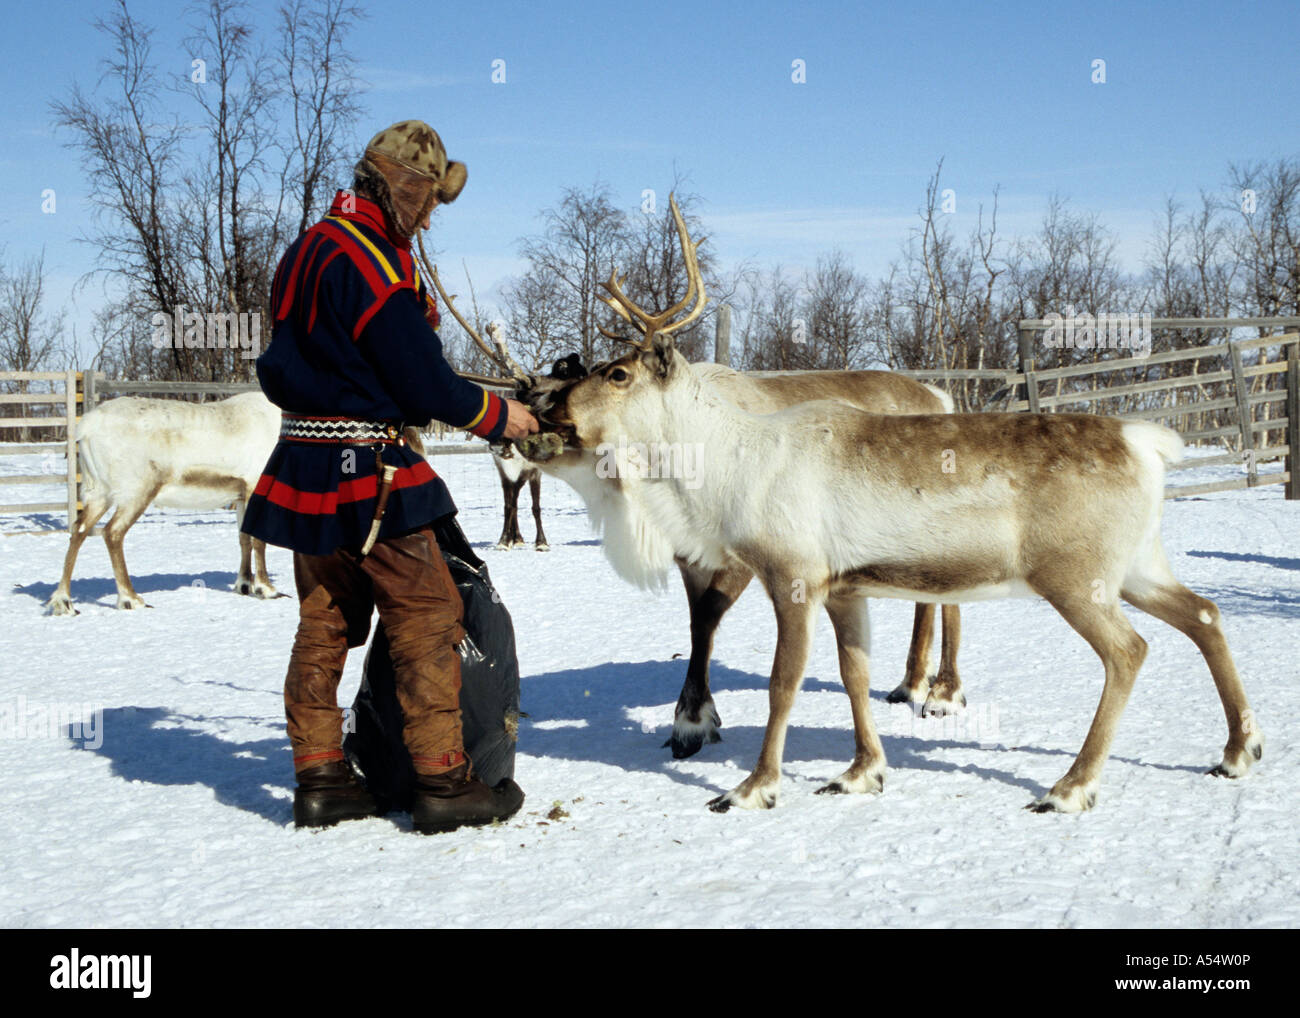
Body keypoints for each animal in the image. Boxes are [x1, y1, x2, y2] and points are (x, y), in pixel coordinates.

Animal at [46, 391, 282, 616]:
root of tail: (87, 427)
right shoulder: (255, 486)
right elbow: (258, 540)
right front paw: (267, 589)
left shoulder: (241, 495)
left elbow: (244, 539)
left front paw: (244, 585)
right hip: (136, 492)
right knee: (112, 532)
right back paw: (131, 599)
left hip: (98, 493)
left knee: (79, 530)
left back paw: (64, 602)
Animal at [521, 195, 1263, 813]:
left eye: (618, 373)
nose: (547, 408)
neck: (728, 464)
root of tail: (1149, 442)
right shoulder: (847, 587)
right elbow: (854, 674)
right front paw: (861, 772)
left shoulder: (793, 575)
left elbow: (783, 683)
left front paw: (754, 787)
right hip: (1136, 564)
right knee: (1204, 612)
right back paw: (1238, 750)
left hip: (1076, 575)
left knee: (1130, 651)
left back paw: (1070, 787)